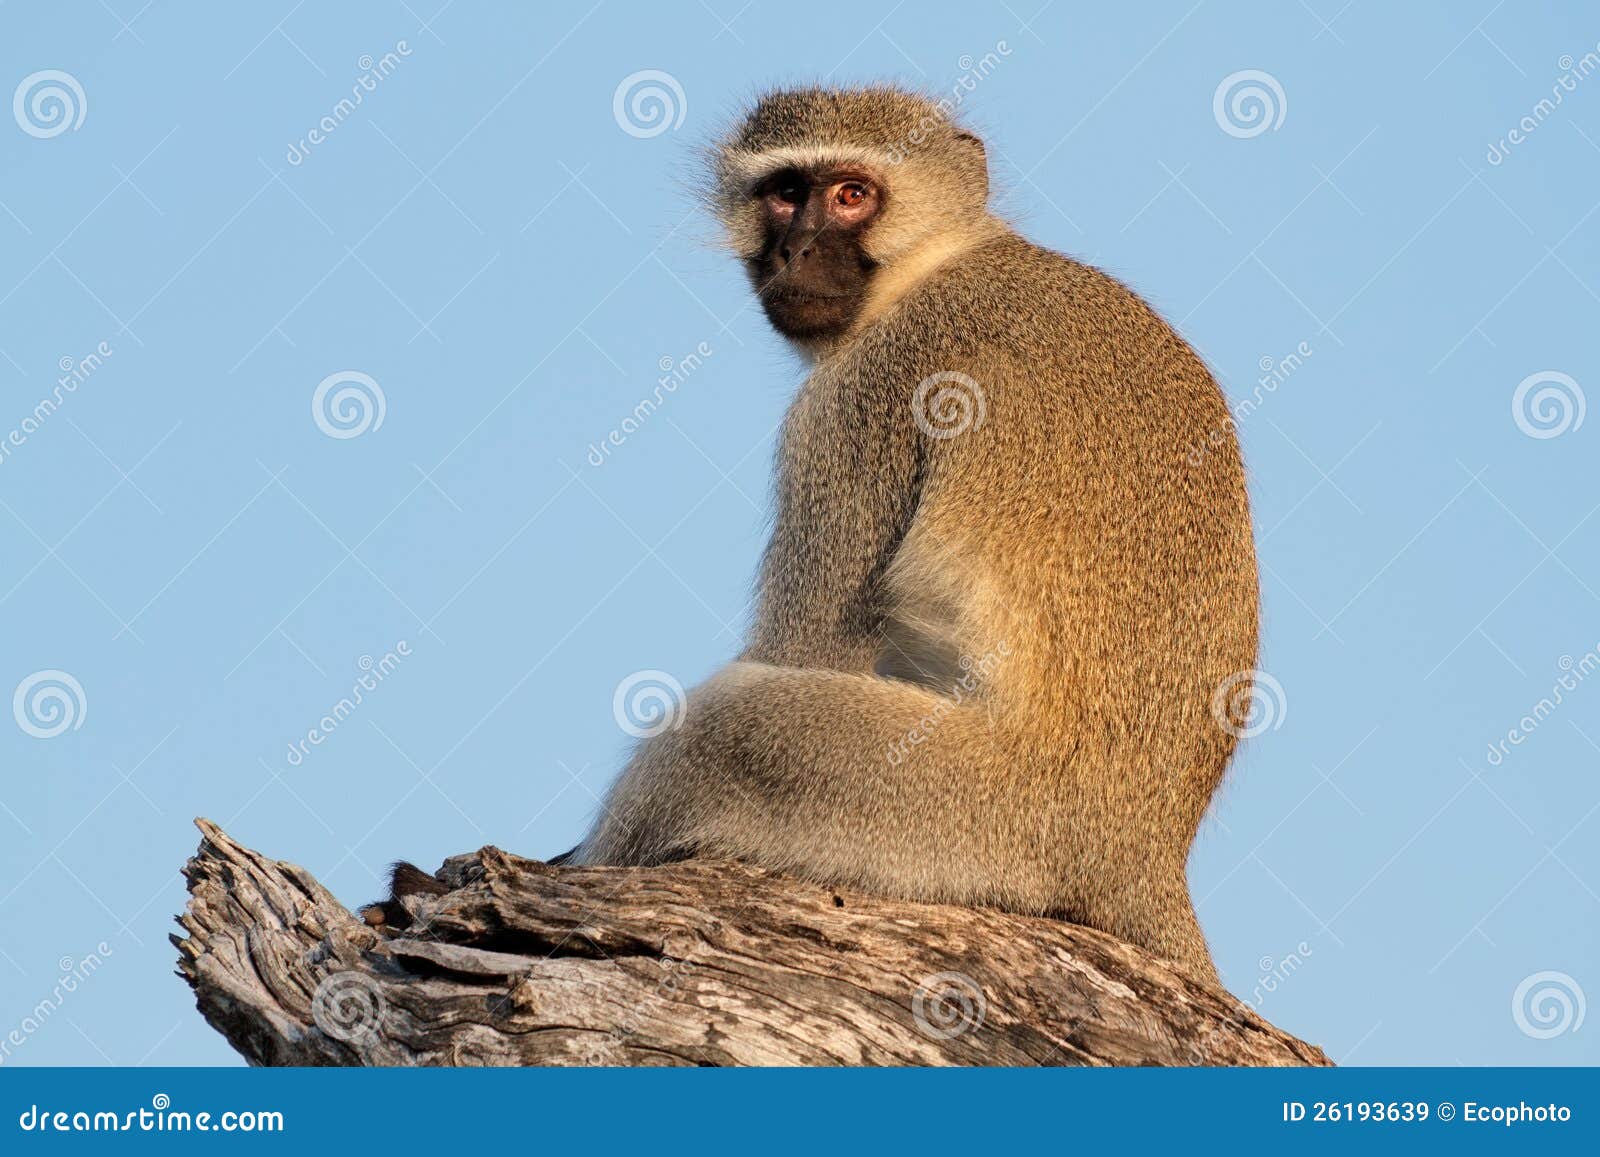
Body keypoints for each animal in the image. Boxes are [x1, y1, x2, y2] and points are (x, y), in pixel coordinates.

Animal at [379, 87, 1259, 988]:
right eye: (784, 193)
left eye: (851, 195)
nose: (795, 247)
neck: (933, 262)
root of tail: (1140, 849)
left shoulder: (857, 403)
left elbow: (808, 648)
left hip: (969, 809)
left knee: (730, 729)